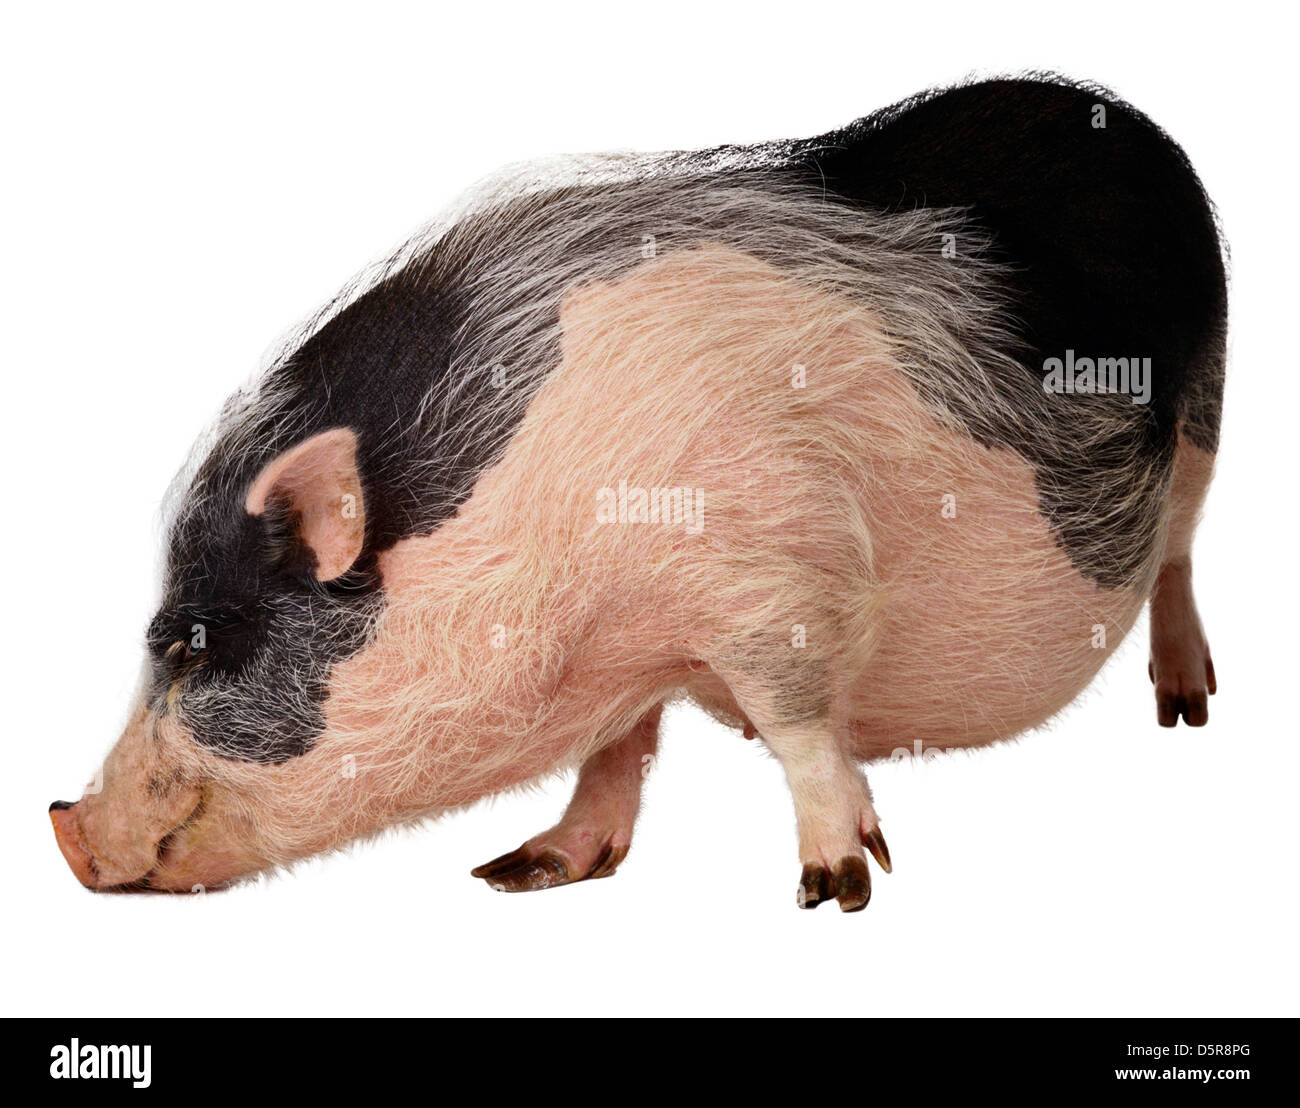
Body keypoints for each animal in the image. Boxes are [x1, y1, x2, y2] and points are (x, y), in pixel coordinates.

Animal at [51, 75, 1225, 911]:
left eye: (190, 640)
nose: (59, 821)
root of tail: (1129, 121)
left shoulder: (779, 585)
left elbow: (796, 722)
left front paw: (834, 891)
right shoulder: (632, 647)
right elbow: (620, 745)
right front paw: (522, 873)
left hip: (1209, 417)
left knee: (1176, 554)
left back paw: (1186, 708)